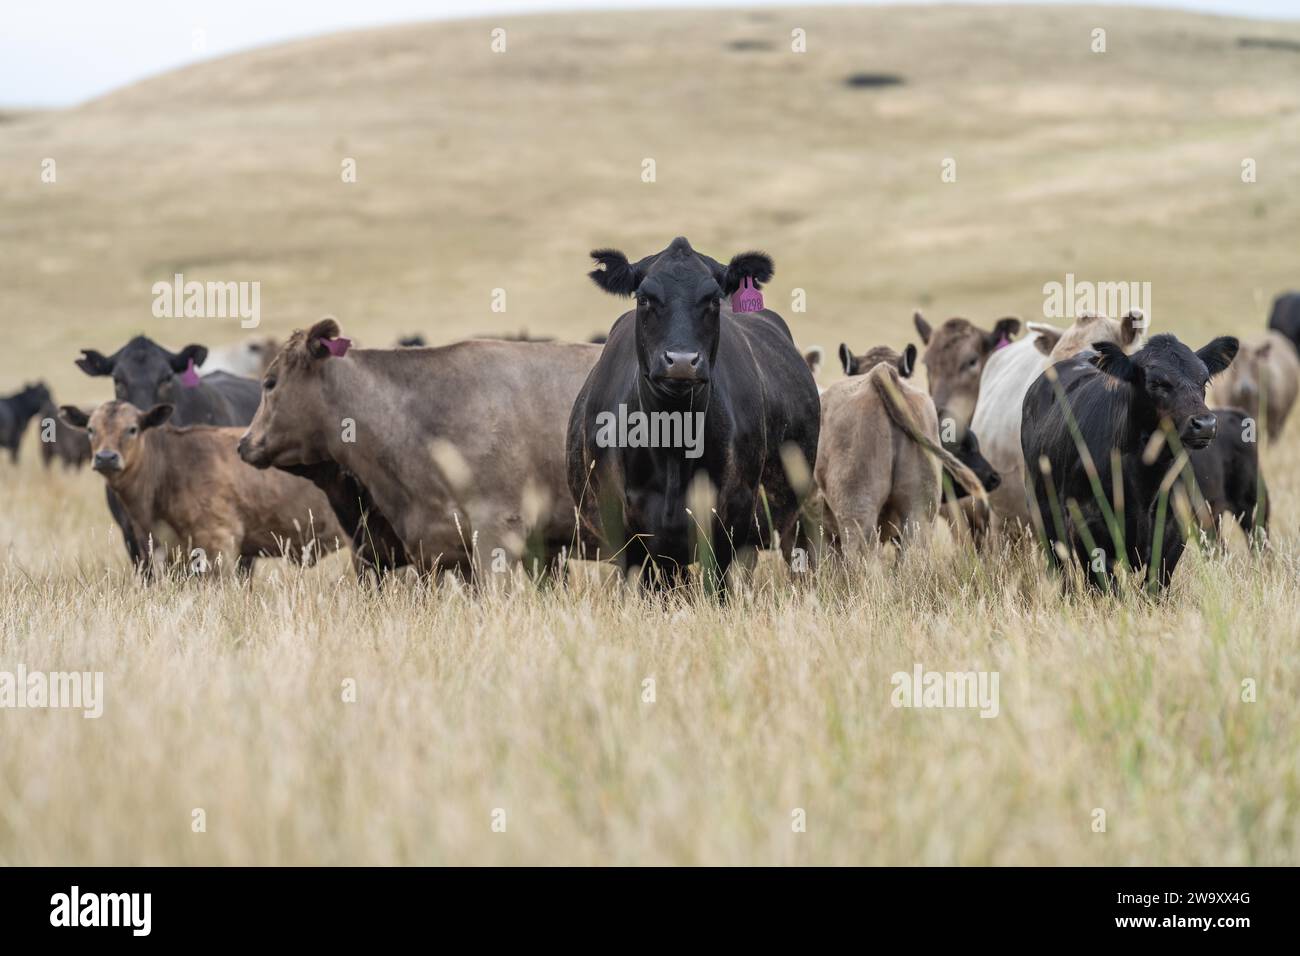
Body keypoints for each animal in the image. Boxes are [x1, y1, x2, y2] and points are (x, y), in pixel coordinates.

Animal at [1021, 333, 1238, 591]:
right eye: (1156, 383)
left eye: (1203, 381)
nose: (1204, 424)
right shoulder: (1087, 527)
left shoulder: (1173, 530)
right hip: (1046, 513)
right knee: (1062, 571)